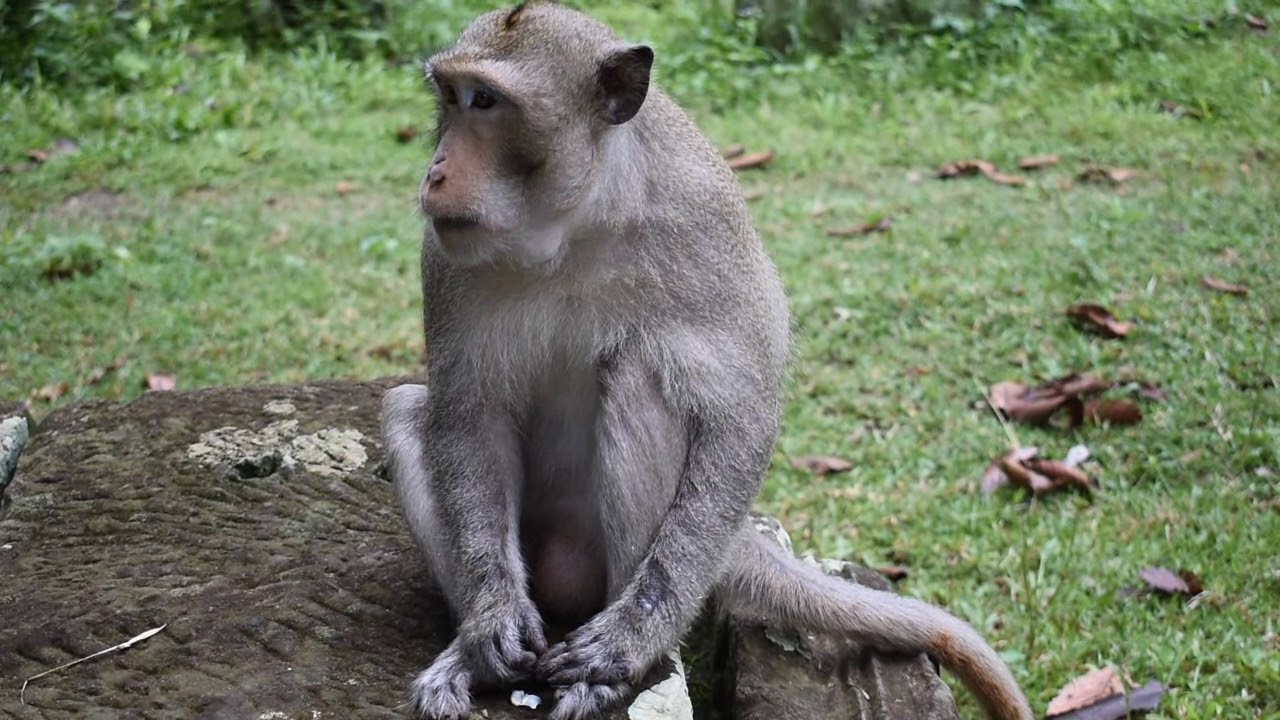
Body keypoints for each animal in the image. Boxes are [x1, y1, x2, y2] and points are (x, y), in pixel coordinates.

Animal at [379, 3, 1035, 719]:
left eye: (487, 101)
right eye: (450, 98)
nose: (437, 169)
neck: (577, 222)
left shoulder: (704, 225)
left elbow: (740, 419)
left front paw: (630, 639)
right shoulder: (444, 257)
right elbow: (468, 415)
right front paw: (491, 620)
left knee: (640, 376)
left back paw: (627, 669)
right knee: (410, 410)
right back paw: (472, 654)